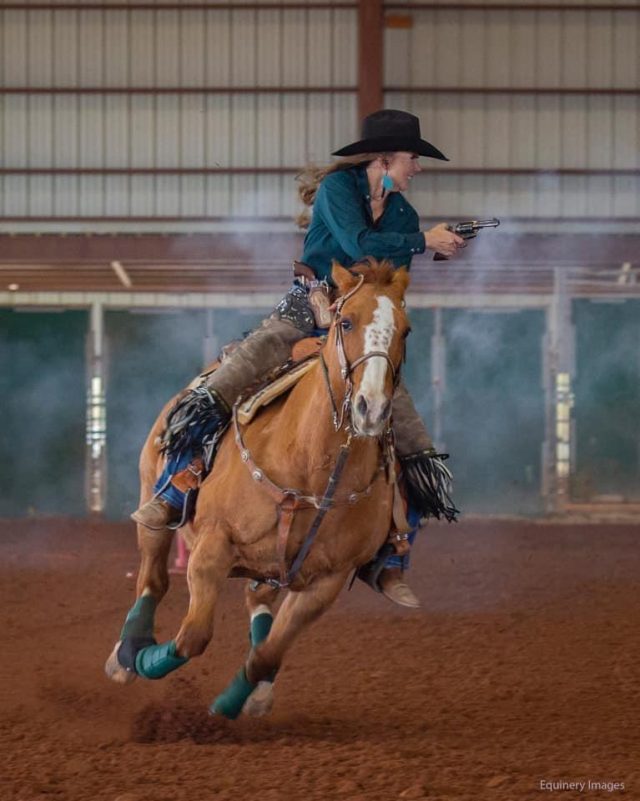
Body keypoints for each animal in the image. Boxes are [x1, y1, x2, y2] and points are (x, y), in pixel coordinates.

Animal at [105, 260, 411, 718]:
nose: (370, 408)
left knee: (258, 603)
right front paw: (141, 661)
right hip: (150, 502)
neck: (309, 465)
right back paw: (126, 654)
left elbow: (267, 654)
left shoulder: (327, 582)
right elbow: (193, 636)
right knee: (153, 580)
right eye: (347, 321)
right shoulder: (211, 549)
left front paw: (234, 701)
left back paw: (258, 691)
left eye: (406, 330)